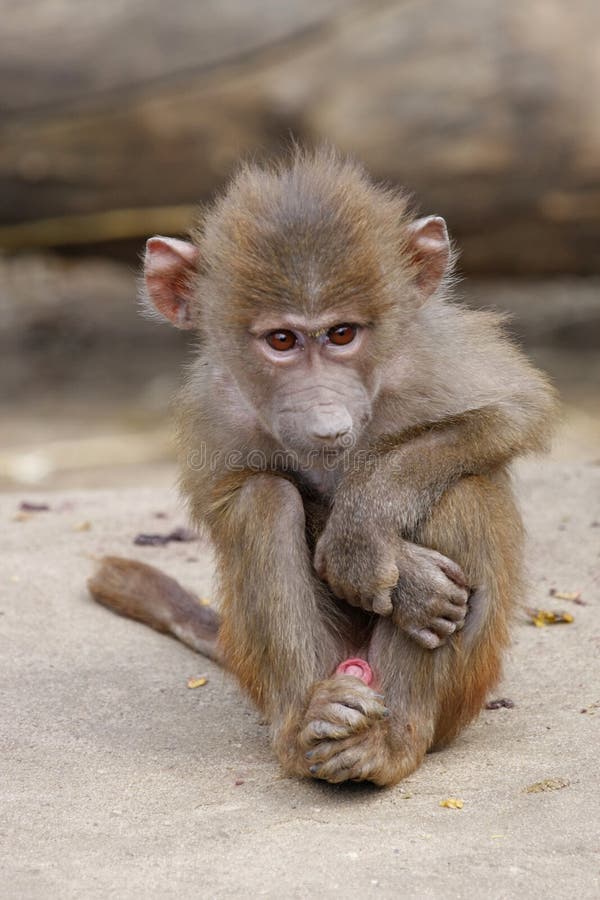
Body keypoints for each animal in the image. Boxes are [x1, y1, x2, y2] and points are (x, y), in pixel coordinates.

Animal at [89, 148, 557, 787]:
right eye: (282, 340)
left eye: (341, 333)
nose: (327, 423)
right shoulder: (218, 406)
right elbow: (228, 497)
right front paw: (409, 580)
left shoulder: (432, 354)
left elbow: (510, 414)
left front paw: (361, 540)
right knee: (266, 500)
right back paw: (311, 719)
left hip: (467, 693)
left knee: (462, 490)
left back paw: (393, 739)